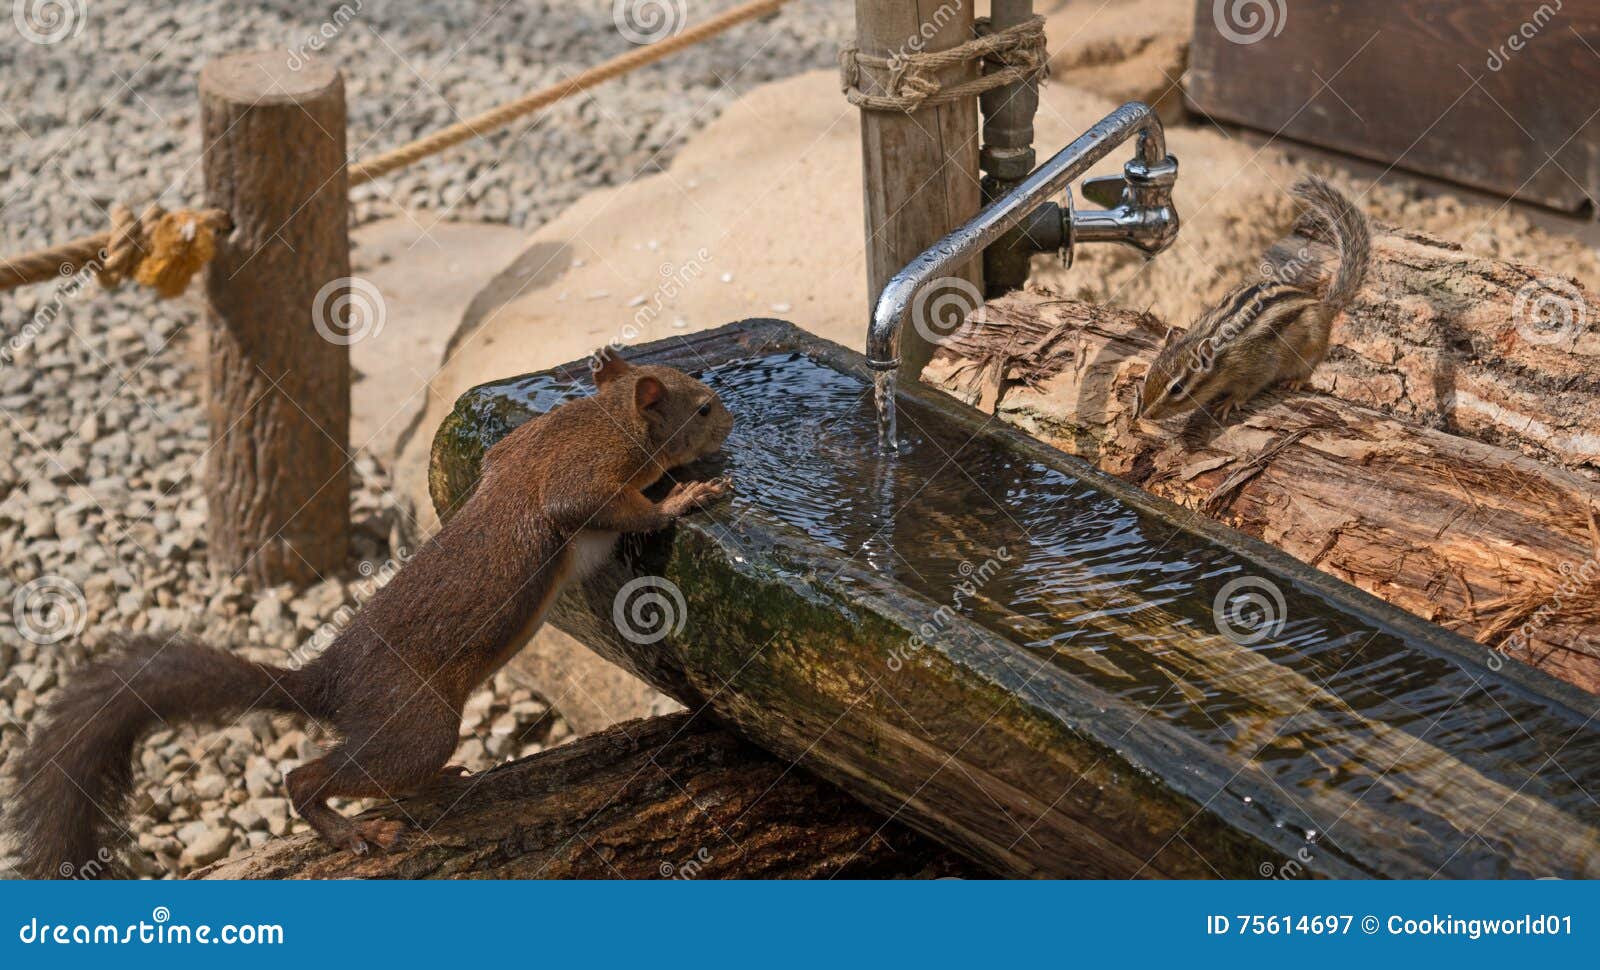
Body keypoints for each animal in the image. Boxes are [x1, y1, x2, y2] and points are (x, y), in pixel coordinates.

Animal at [3, 352, 733, 878]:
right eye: (701, 405)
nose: (729, 425)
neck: (600, 416)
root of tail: (327, 681)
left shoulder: (518, 445)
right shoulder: (579, 475)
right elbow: (608, 505)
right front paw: (689, 495)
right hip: (416, 723)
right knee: (308, 777)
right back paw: (353, 830)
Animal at [1136, 176, 1372, 422]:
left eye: (1177, 388)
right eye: (1149, 374)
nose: (1145, 414)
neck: (1221, 354)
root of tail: (1323, 305)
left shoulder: (1259, 365)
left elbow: (1249, 388)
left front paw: (1230, 401)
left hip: (1312, 342)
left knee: (1309, 368)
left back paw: (1296, 381)